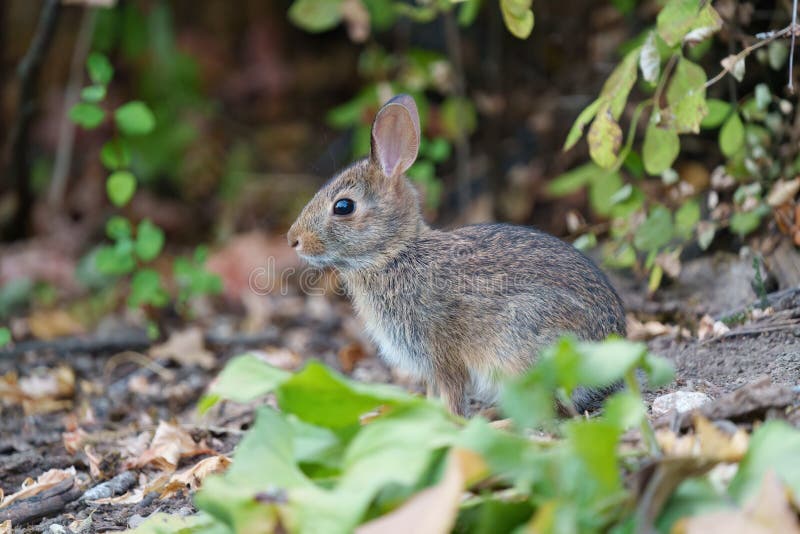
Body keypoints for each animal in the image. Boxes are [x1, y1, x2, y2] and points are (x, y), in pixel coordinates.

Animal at [287, 94, 627, 416]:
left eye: (343, 206)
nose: (293, 240)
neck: (394, 253)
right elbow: (434, 395)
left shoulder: (441, 354)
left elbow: (451, 395)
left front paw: (451, 421)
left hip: (523, 350)